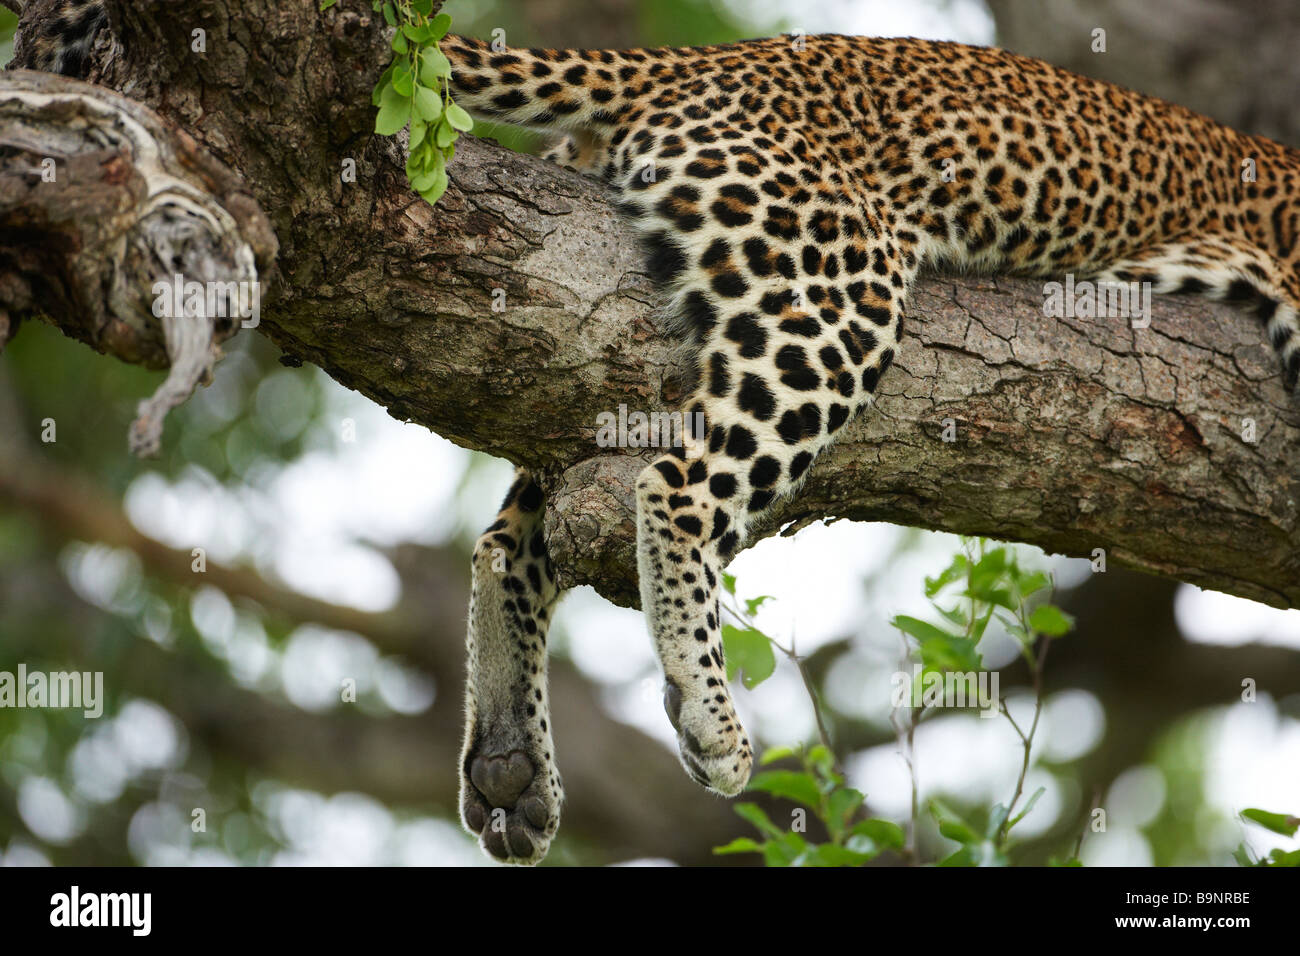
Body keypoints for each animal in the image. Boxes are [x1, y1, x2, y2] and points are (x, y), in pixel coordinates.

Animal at [21, 4, 1300, 866]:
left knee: (521, 530)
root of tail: (707, 58)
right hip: (831, 290)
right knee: (671, 486)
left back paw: (510, 763)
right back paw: (710, 717)